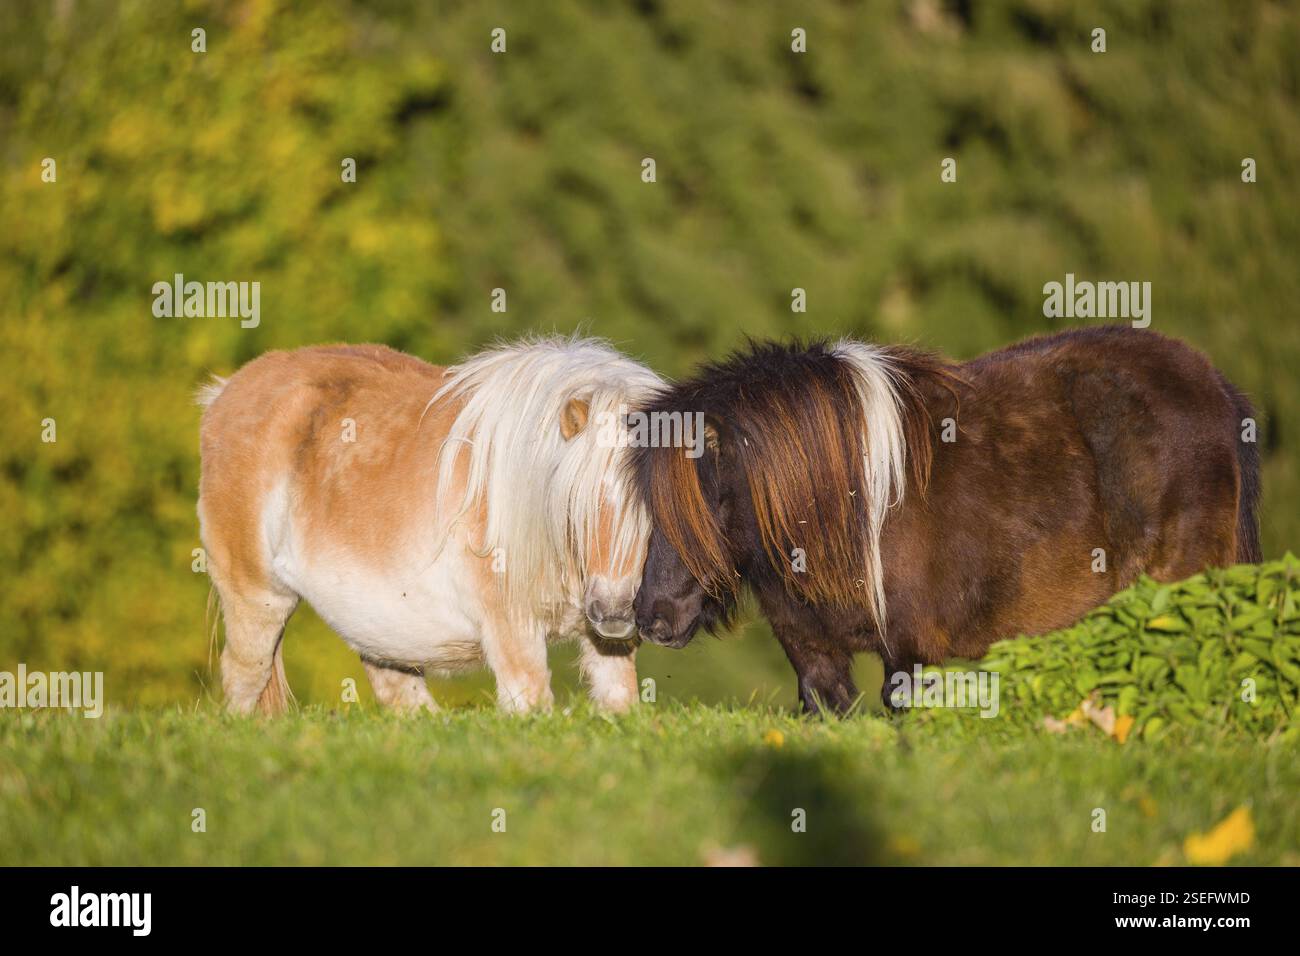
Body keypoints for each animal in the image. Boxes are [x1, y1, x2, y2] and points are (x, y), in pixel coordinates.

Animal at [198, 336, 662, 715]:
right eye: (577, 502)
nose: (615, 611)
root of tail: (225, 391)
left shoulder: (607, 643)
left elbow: (621, 702)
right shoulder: (511, 629)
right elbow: (530, 701)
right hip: (259, 598)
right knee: (243, 680)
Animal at [630, 327, 1262, 715]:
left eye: (711, 501)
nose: (652, 617)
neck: (847, 504)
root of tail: (1217, 388)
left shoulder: (910, 654)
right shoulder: (815, 660)